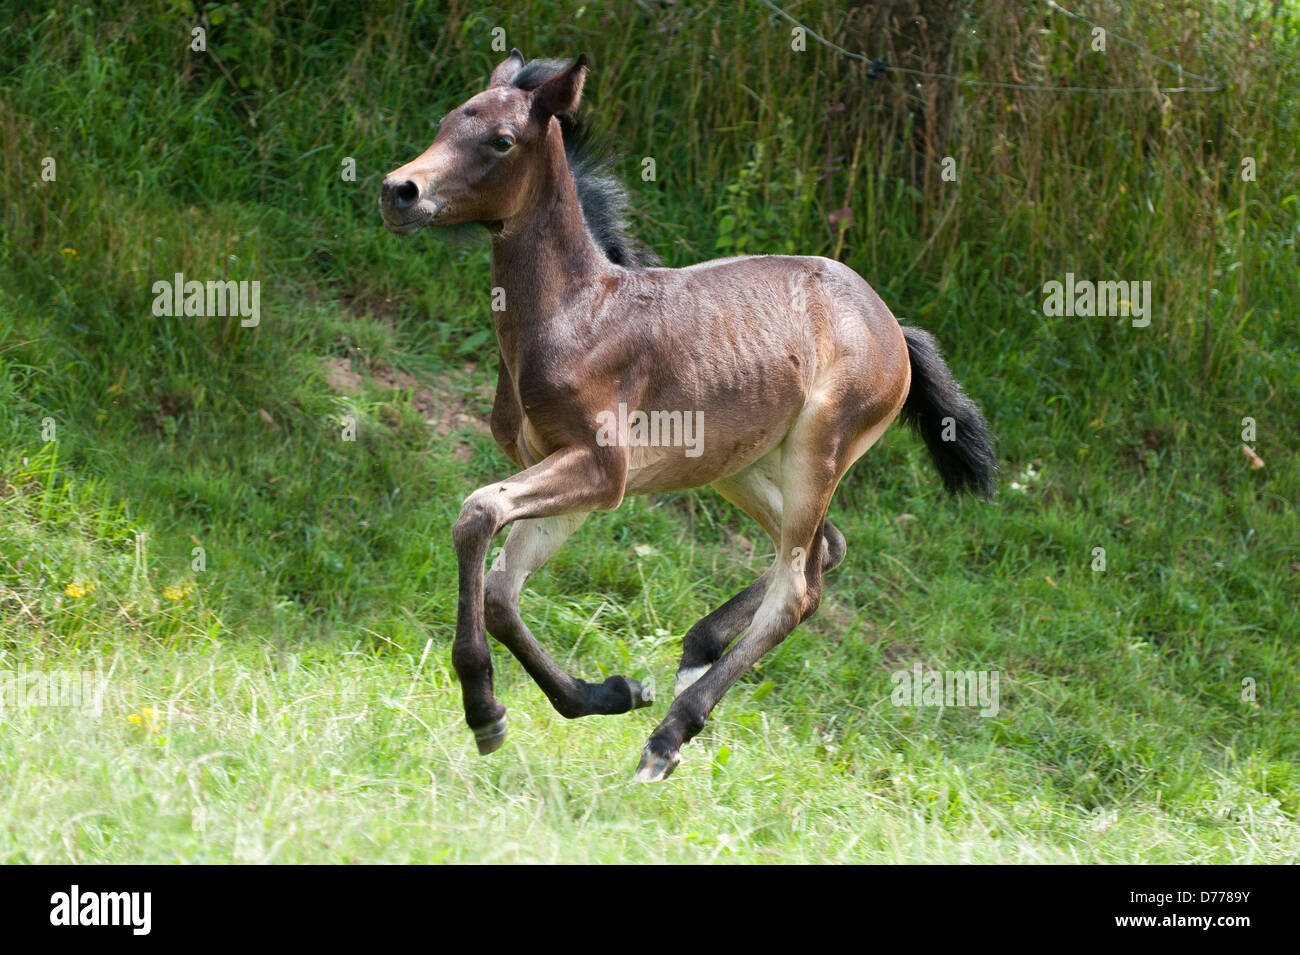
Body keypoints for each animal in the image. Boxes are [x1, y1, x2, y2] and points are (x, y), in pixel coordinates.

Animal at [380, 51, 996, 782]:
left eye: (501, 140)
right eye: (447, 122)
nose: (399, 191)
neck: (578, 314)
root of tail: (893, 327)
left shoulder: (601, 469)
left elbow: (476, 513)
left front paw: (482, 709)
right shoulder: (568, 477)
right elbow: (502, 590)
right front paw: (606, 694)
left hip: (817, 452)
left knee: (797, 590)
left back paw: (670, 734)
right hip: (738, 465)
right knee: (823, 549)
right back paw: (695, 652)